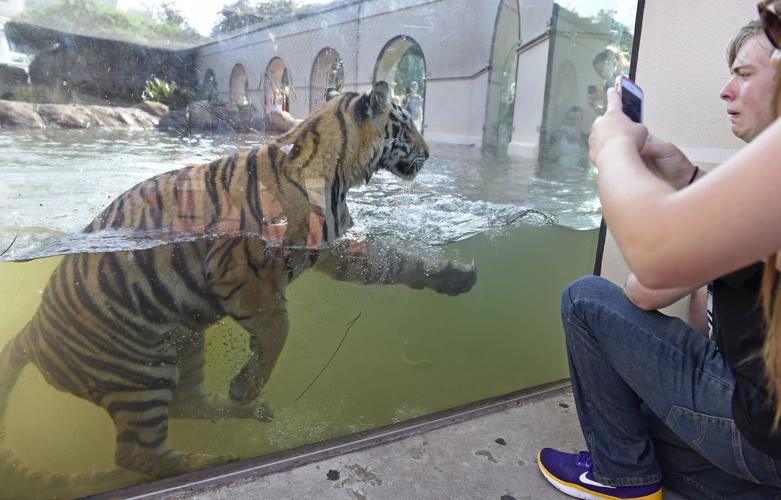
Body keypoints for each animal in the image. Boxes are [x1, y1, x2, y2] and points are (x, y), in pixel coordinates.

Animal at [0, 81, 477, 490]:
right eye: (406, 124)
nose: (429, 152)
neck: (337, 171)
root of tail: (32, 329)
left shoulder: (338, 252)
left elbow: (399, 263)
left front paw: (456, 277)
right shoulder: (244, 275)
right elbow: (279, 331)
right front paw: (247, 385)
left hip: (183, 340)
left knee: (186, 405)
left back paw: (247, 414)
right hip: (139, 373)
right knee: (136, 453)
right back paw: (214, 459)